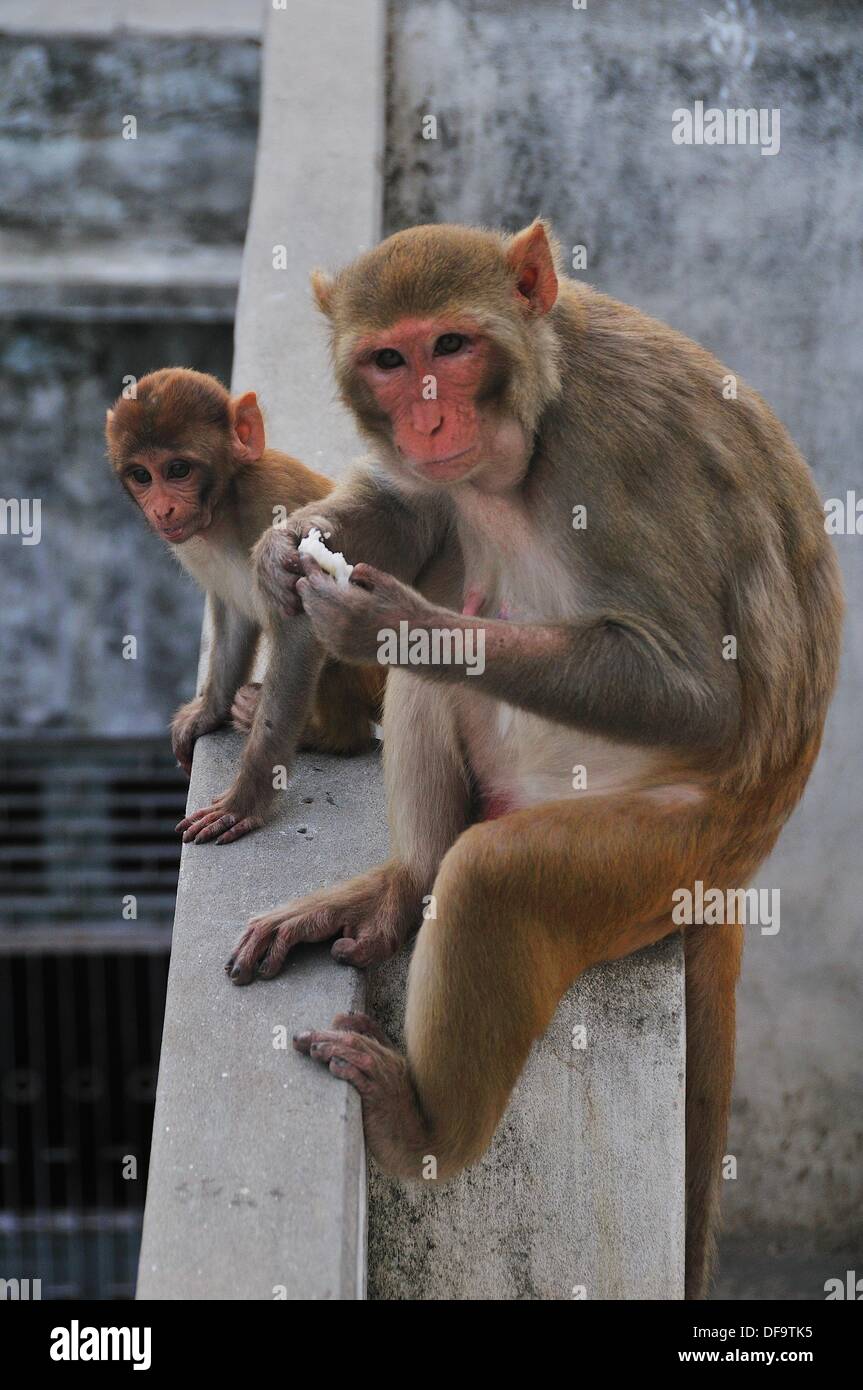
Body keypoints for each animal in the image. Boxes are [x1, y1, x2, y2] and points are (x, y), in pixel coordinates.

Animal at [105, 368, 383, 845]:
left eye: (178, 469)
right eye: (141, 475)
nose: (162, 508)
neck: (224, 506)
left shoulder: (272, 499)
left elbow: (301, 633)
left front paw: (246, 800)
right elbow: (234, 618)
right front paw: (206, 714)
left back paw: (330, 734)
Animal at [224, 221, 843, 1297]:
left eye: (452, 345)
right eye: (388, 361)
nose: (428, 417)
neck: (538, 416)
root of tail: (742, 865)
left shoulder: (616, 451)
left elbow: (696, 687)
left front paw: (383, 617)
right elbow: (413, 515)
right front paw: (289, 547)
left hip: (671, 859)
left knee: (495, 877)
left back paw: (422, 1131)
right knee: (448, 625)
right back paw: (398, 887)